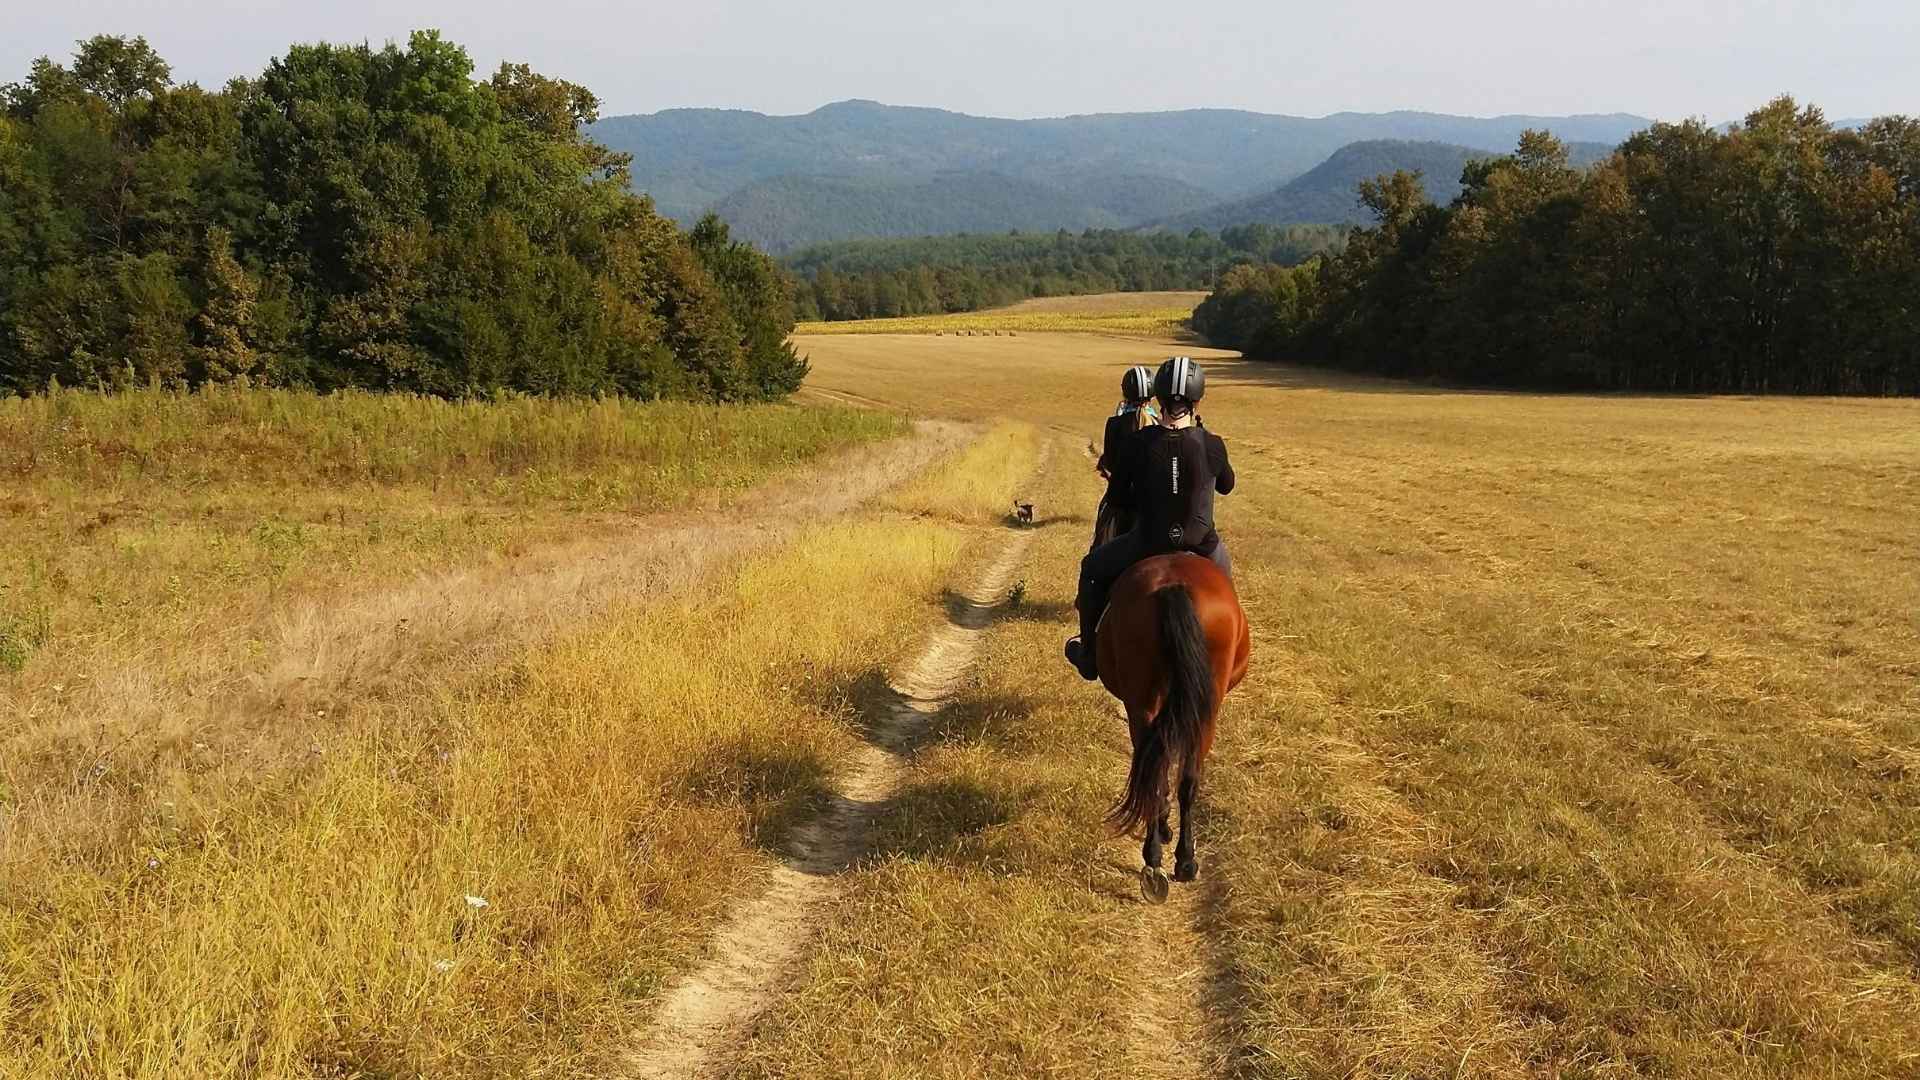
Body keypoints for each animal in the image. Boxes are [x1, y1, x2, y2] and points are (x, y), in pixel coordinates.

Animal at [1096, 552, 1250, 903]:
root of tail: (1174, 584)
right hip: (1201, 708)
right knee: (1179, 774)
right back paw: (1174, 860)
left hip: (1148, 704)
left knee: (1165, 773)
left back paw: (1160, 860)